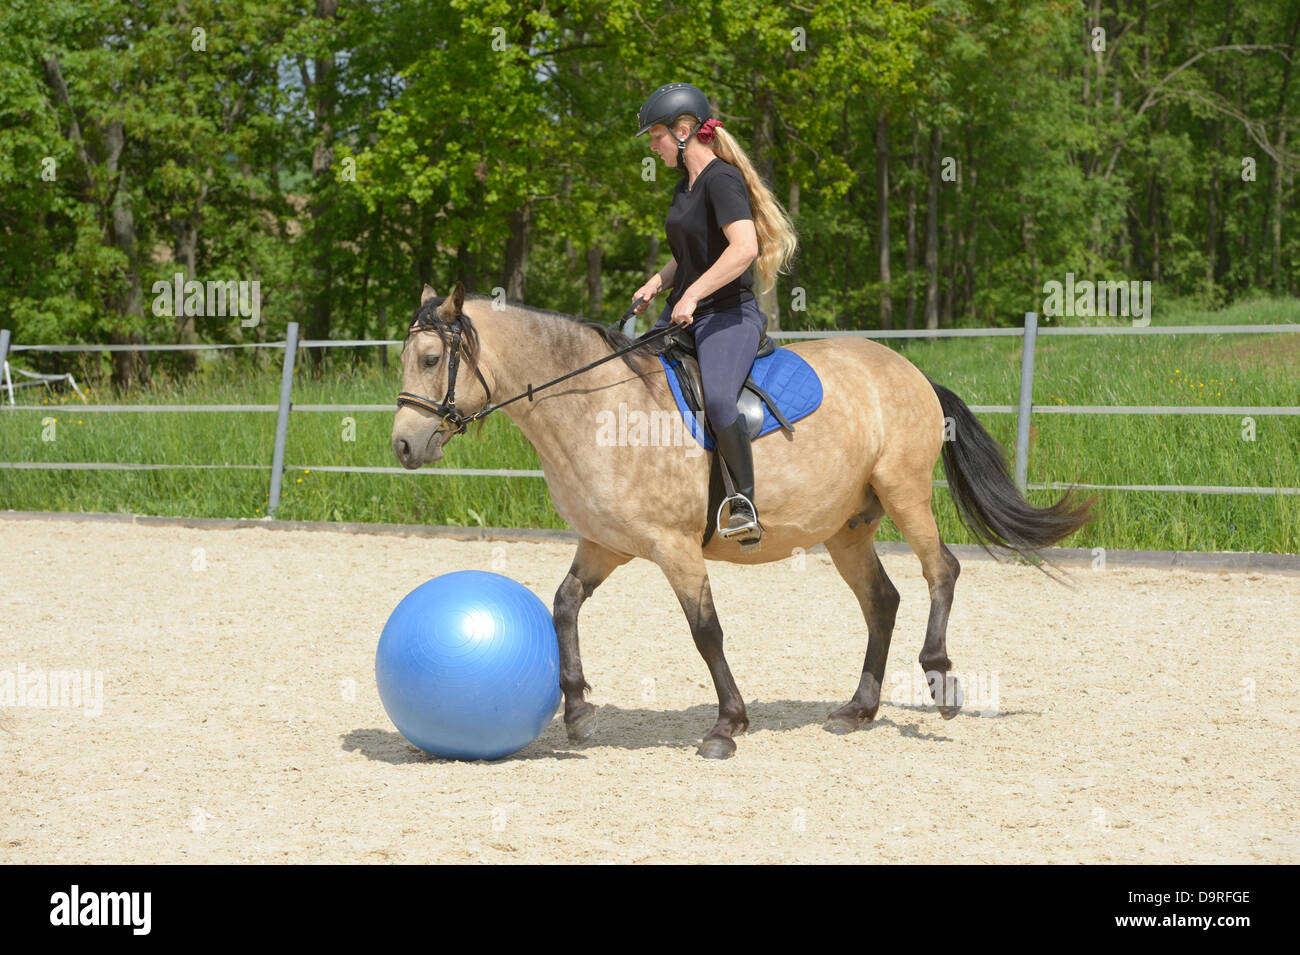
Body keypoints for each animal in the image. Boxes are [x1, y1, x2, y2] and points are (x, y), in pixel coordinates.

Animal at [392, 282, 1093, 759]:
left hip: (903, 492)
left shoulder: (674, 547)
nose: (403, 445)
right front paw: (580, 711)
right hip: (847, 527)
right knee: (882, 600)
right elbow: (562, 606)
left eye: (429, 359)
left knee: (939, 570)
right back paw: (857, 709)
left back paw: (940, 678)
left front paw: (727, 725)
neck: (598, 409)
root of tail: (912, 370)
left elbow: (706, 632)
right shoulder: (605, 543)